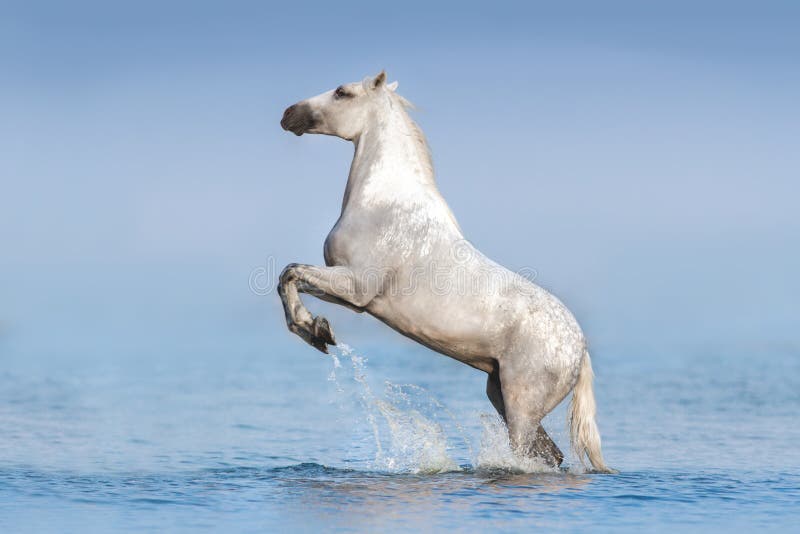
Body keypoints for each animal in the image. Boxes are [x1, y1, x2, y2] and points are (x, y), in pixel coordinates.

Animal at [278, 70, 613, 472]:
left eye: (343, 93)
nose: (288, 114)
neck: (382, 203)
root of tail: (579, 348)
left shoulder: (356, 287)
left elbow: (289, 273)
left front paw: (316, 331)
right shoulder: (349, 295)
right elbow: (289, 279)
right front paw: (315, 330)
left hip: (522, 406)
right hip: (498, 392)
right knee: (553, 455)